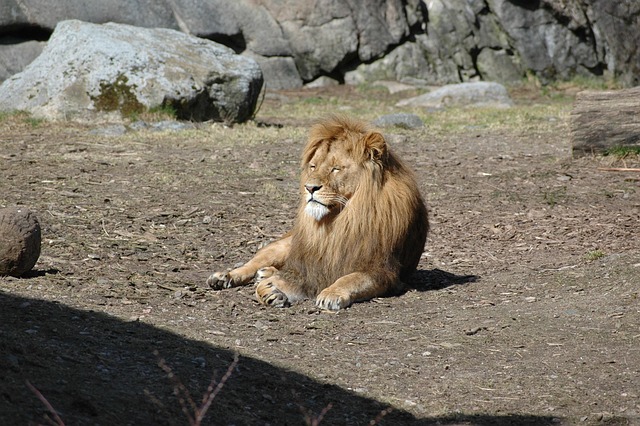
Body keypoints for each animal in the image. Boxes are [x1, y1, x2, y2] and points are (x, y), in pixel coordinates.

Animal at [207, 115, 429, 310]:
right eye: (313, 166)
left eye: (336, 168)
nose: (309, 187)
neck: (341, 219)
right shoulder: (310, 267)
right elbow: (285, 280)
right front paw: (270, 290)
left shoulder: (383, 270)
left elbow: (352, 278)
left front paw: (331, 293)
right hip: (284, 246)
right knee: (255, 261)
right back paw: (226, 276)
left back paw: (265, 273)